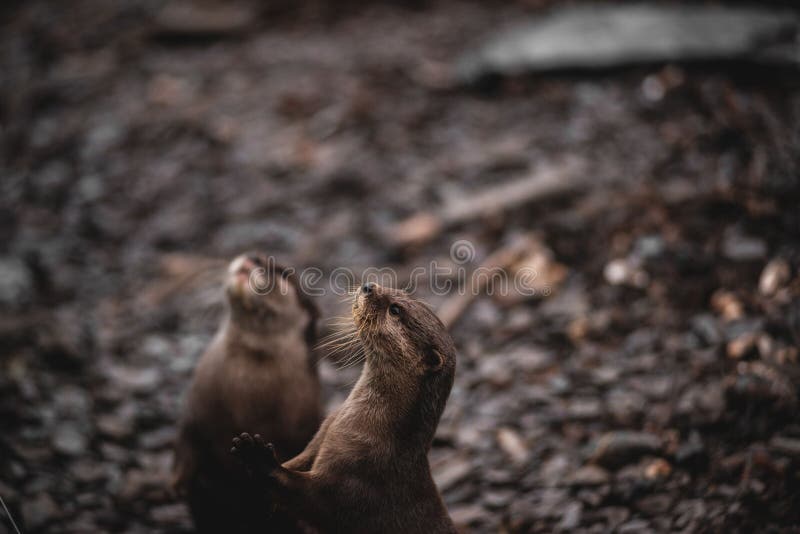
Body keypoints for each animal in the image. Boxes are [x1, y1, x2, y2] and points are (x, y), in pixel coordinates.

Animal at [173, 253, 322, 534]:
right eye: (256, 255)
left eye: (282, 273)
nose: (254, 259)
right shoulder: (197, 405)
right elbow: (188, 436)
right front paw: (178, 481)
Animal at [231, 282, 457, 534]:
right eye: (398, 292)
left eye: (395, 310)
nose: (369, 286)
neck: (372, 432)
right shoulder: (323, 434)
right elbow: (301, 458)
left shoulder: (357, 482)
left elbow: (312, 498)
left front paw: (259, 458)